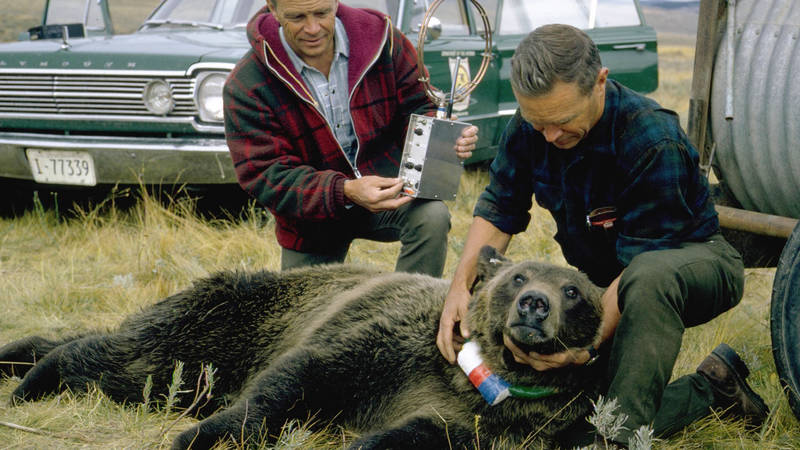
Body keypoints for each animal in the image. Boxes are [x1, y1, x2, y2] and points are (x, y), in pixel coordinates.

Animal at [0, 246, 604, 449]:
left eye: (573, 290)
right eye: (519, 275)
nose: (533, 303)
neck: (473, 375)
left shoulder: (488, 423)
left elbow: (417, 434)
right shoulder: (390, 346)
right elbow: (302, 376)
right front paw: (202, 437)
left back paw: (20, 353)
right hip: (228, 324)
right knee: (143, 366)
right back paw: (32, 381)